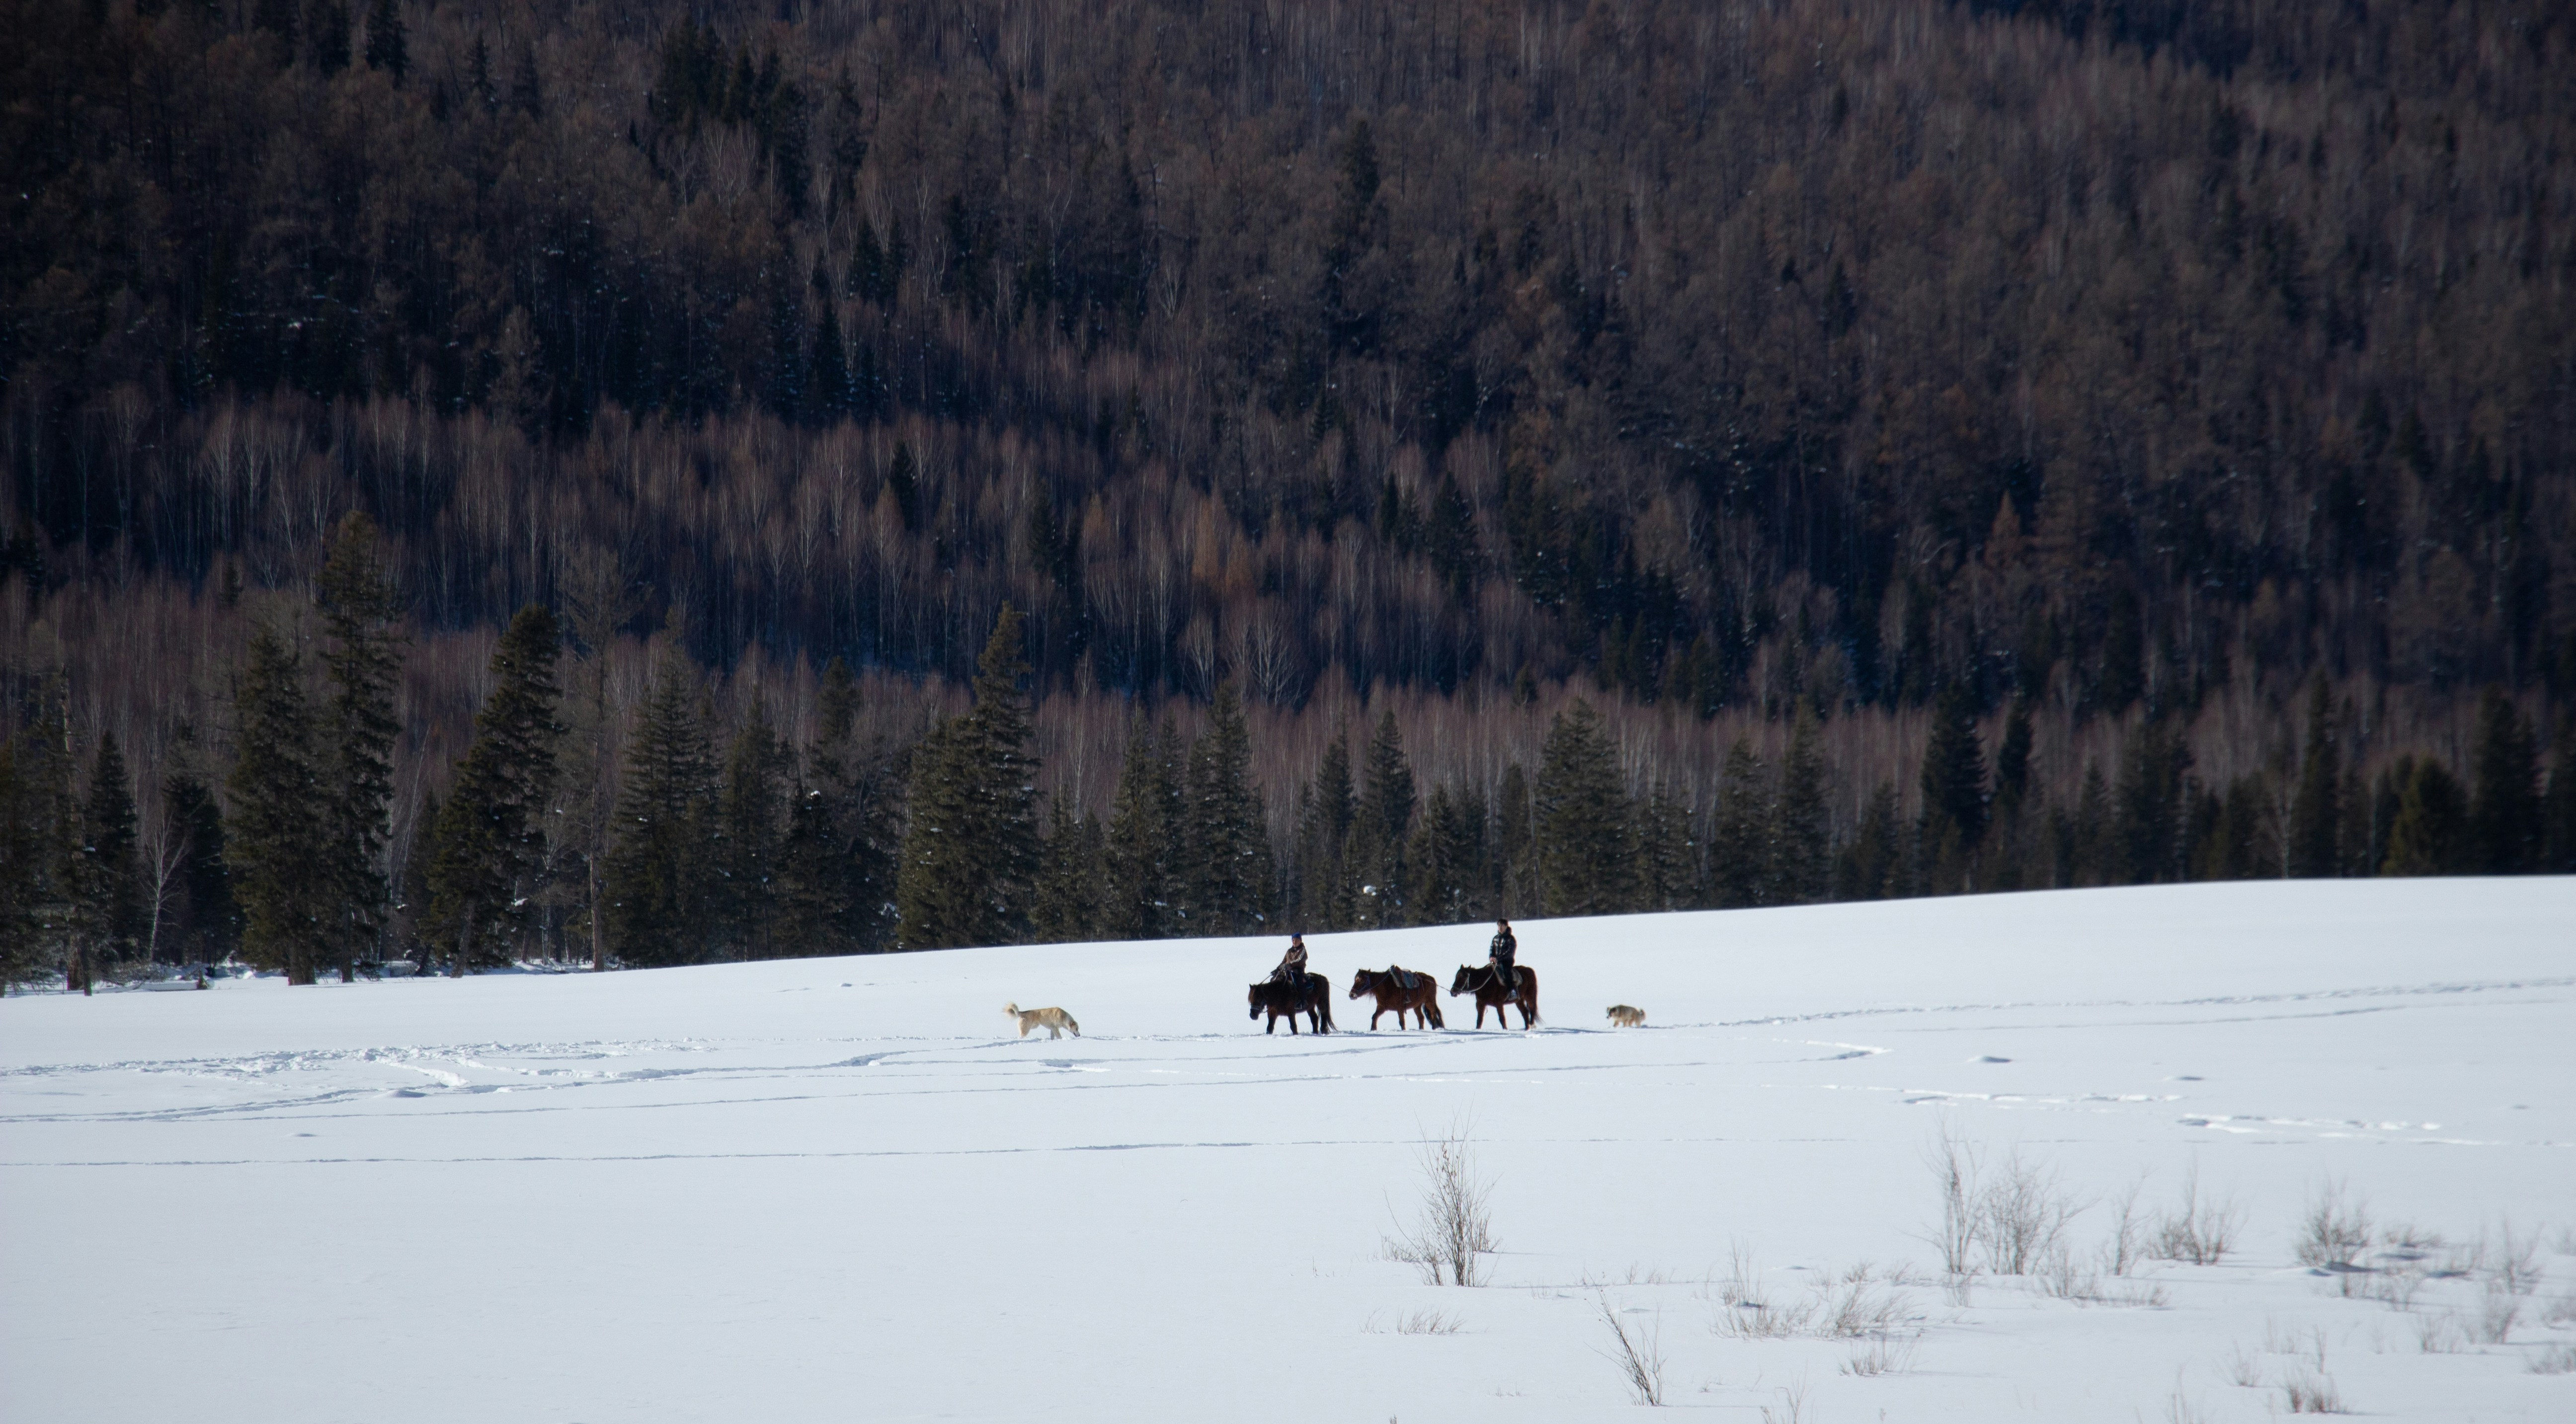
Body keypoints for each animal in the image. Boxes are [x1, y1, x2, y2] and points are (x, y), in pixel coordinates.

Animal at [1247, 974, 1335, 1034]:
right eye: (1250, 1000)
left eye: (1259, 998)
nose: (1252, 1015)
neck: (1279, 994)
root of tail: (1323, 978)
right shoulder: (1272, 1013)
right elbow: (1270, 1028)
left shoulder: (1291, 1013)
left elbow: (1293, 1027)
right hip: (1310, 1007)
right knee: (1314, 1019)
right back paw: (1315, 1033)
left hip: (1321, 1003)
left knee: (1323, 1015)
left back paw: (1323, 1031)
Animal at [1347, 968, 1445, 1031]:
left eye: (1361, 980)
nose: (1352, 995)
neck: (1385, 987)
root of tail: (1432, 979)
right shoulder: (1382, 1007)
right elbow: (1374, 1017)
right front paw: (1373, 1029)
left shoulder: (1400, 1008)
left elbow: (1402, 1022)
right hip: (1417, 1005)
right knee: (1421, 1018)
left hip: (1430, 1001)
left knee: (1434, 1014)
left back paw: (1435, 1028)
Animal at [1448, 963, 1540, 1029]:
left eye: (1462, 977)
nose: (1453, 992)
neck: (1486, 984)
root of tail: (1529, 970)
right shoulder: (1480, 1004)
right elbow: (1479, 1021)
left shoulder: (1499, 1004)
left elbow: (1502, 1020)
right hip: (1519, 1001)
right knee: (1525, 1013)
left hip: (1530, 997)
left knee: (1531, 1011)